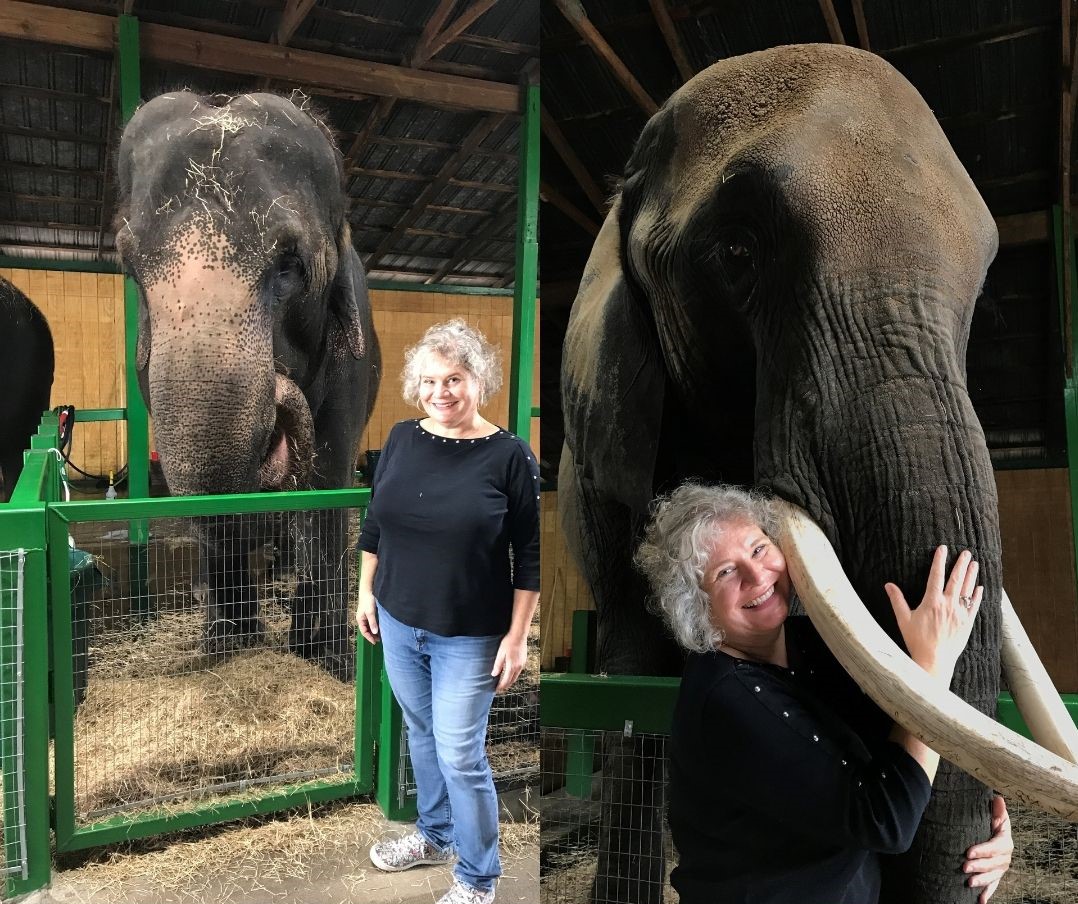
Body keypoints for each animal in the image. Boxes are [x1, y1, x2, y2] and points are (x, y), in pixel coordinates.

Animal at [115, 91, 380, 681]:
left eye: (291, 263)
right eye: (130, 264)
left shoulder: (348, 373)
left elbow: (328, 479)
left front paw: (327, 661)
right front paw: (227, 646)